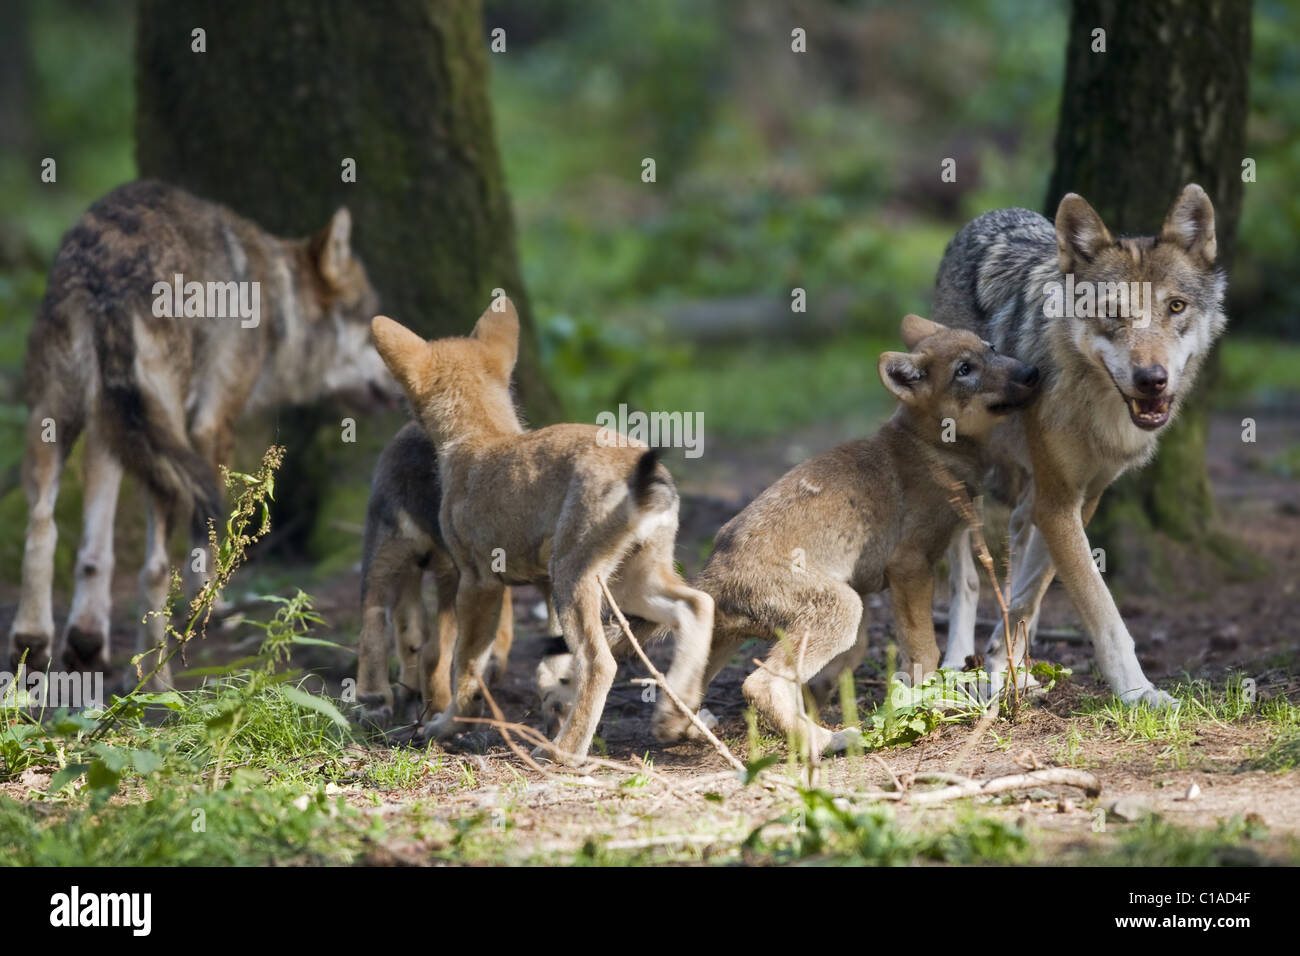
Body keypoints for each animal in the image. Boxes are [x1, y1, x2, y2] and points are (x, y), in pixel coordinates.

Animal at [10, 180, 397, 681]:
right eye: (374, 326)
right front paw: (213, 605)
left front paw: (88, 639)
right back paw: (156, 677)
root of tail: (108, 276)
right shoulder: (214, 424)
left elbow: (95, 554)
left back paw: (34, 641)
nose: (405, 380)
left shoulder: (109, 435)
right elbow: (209, 538)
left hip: (59, 420)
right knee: (155, 566)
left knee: (42, 524)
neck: (280, 303)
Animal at [370, 298, 714, 765]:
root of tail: (646, 474)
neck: (479, 439)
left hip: (578, 580)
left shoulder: (477, 582)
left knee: (601, 662)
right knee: (697, 605)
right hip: (628, 582)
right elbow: (546, 671)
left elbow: (465, 665)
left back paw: (565, 751)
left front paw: (448, 725)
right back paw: (674, 716)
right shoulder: (532, 584)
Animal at [694, 315, 1040, 753]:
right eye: (964, 370)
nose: (1032, 372)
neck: (931, 448)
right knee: (759, 684)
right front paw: (931, 703)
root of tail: (712, 573)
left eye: (991, 348)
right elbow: (925, 651)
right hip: (843, 610)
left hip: (764, 635)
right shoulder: (910, 565)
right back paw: (826, 741)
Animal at [932, 184, 1226, 706]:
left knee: (1016, 551)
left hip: (1029, 497)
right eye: (1111, 312)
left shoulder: (1080, 498)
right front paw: (1138, 693)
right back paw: (954, 663)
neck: (1101, 409)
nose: (1152, 379)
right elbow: (1102, 610)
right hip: (964, 476)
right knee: (964, 577)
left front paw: (1004, 665)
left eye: (1176, 307)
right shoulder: (1058, 503)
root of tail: (986, 217)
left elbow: (1032, 592)